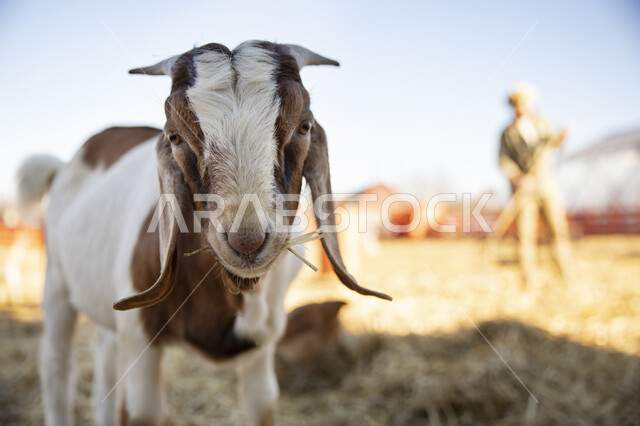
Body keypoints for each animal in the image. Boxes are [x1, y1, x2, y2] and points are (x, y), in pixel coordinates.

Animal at [18, 41, 391, 426]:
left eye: (304, 127)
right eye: (174, 136)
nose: (246, 242)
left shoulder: (263, 343)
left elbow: (263, 404)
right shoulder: (139, 338)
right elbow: (140, 410)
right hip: (56, 282)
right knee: (56, 365)